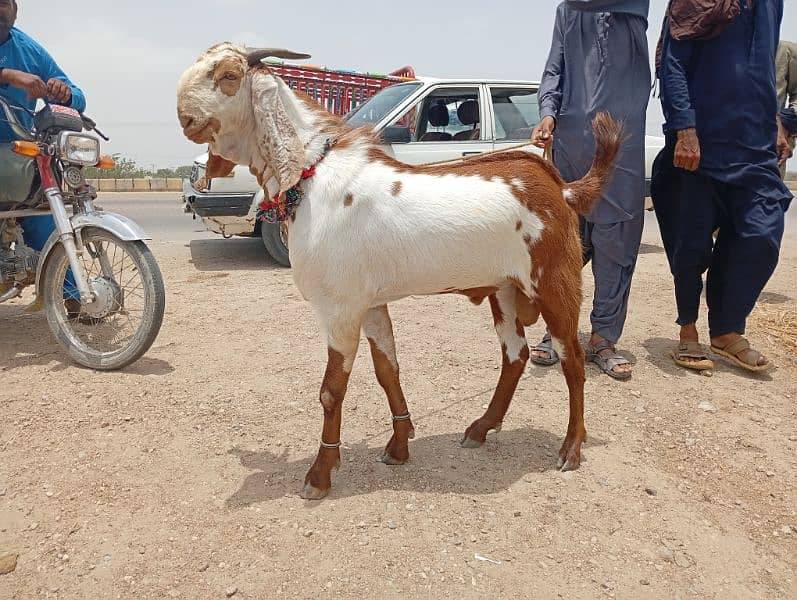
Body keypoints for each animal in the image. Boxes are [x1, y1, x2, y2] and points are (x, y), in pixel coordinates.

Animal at [177, 44, 623, 500]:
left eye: (229, 76)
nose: (185, 117)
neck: (315, 174)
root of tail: (561, 187)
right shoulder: (371, 304)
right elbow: (387, 372)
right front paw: (399, 444)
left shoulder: (340, 309)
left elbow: (331, 390)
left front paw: (320, 473)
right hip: (505, 290)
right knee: (515, 355)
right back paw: (482, 427)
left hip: (554, 282)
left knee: (572, 362)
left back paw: (572, 446)